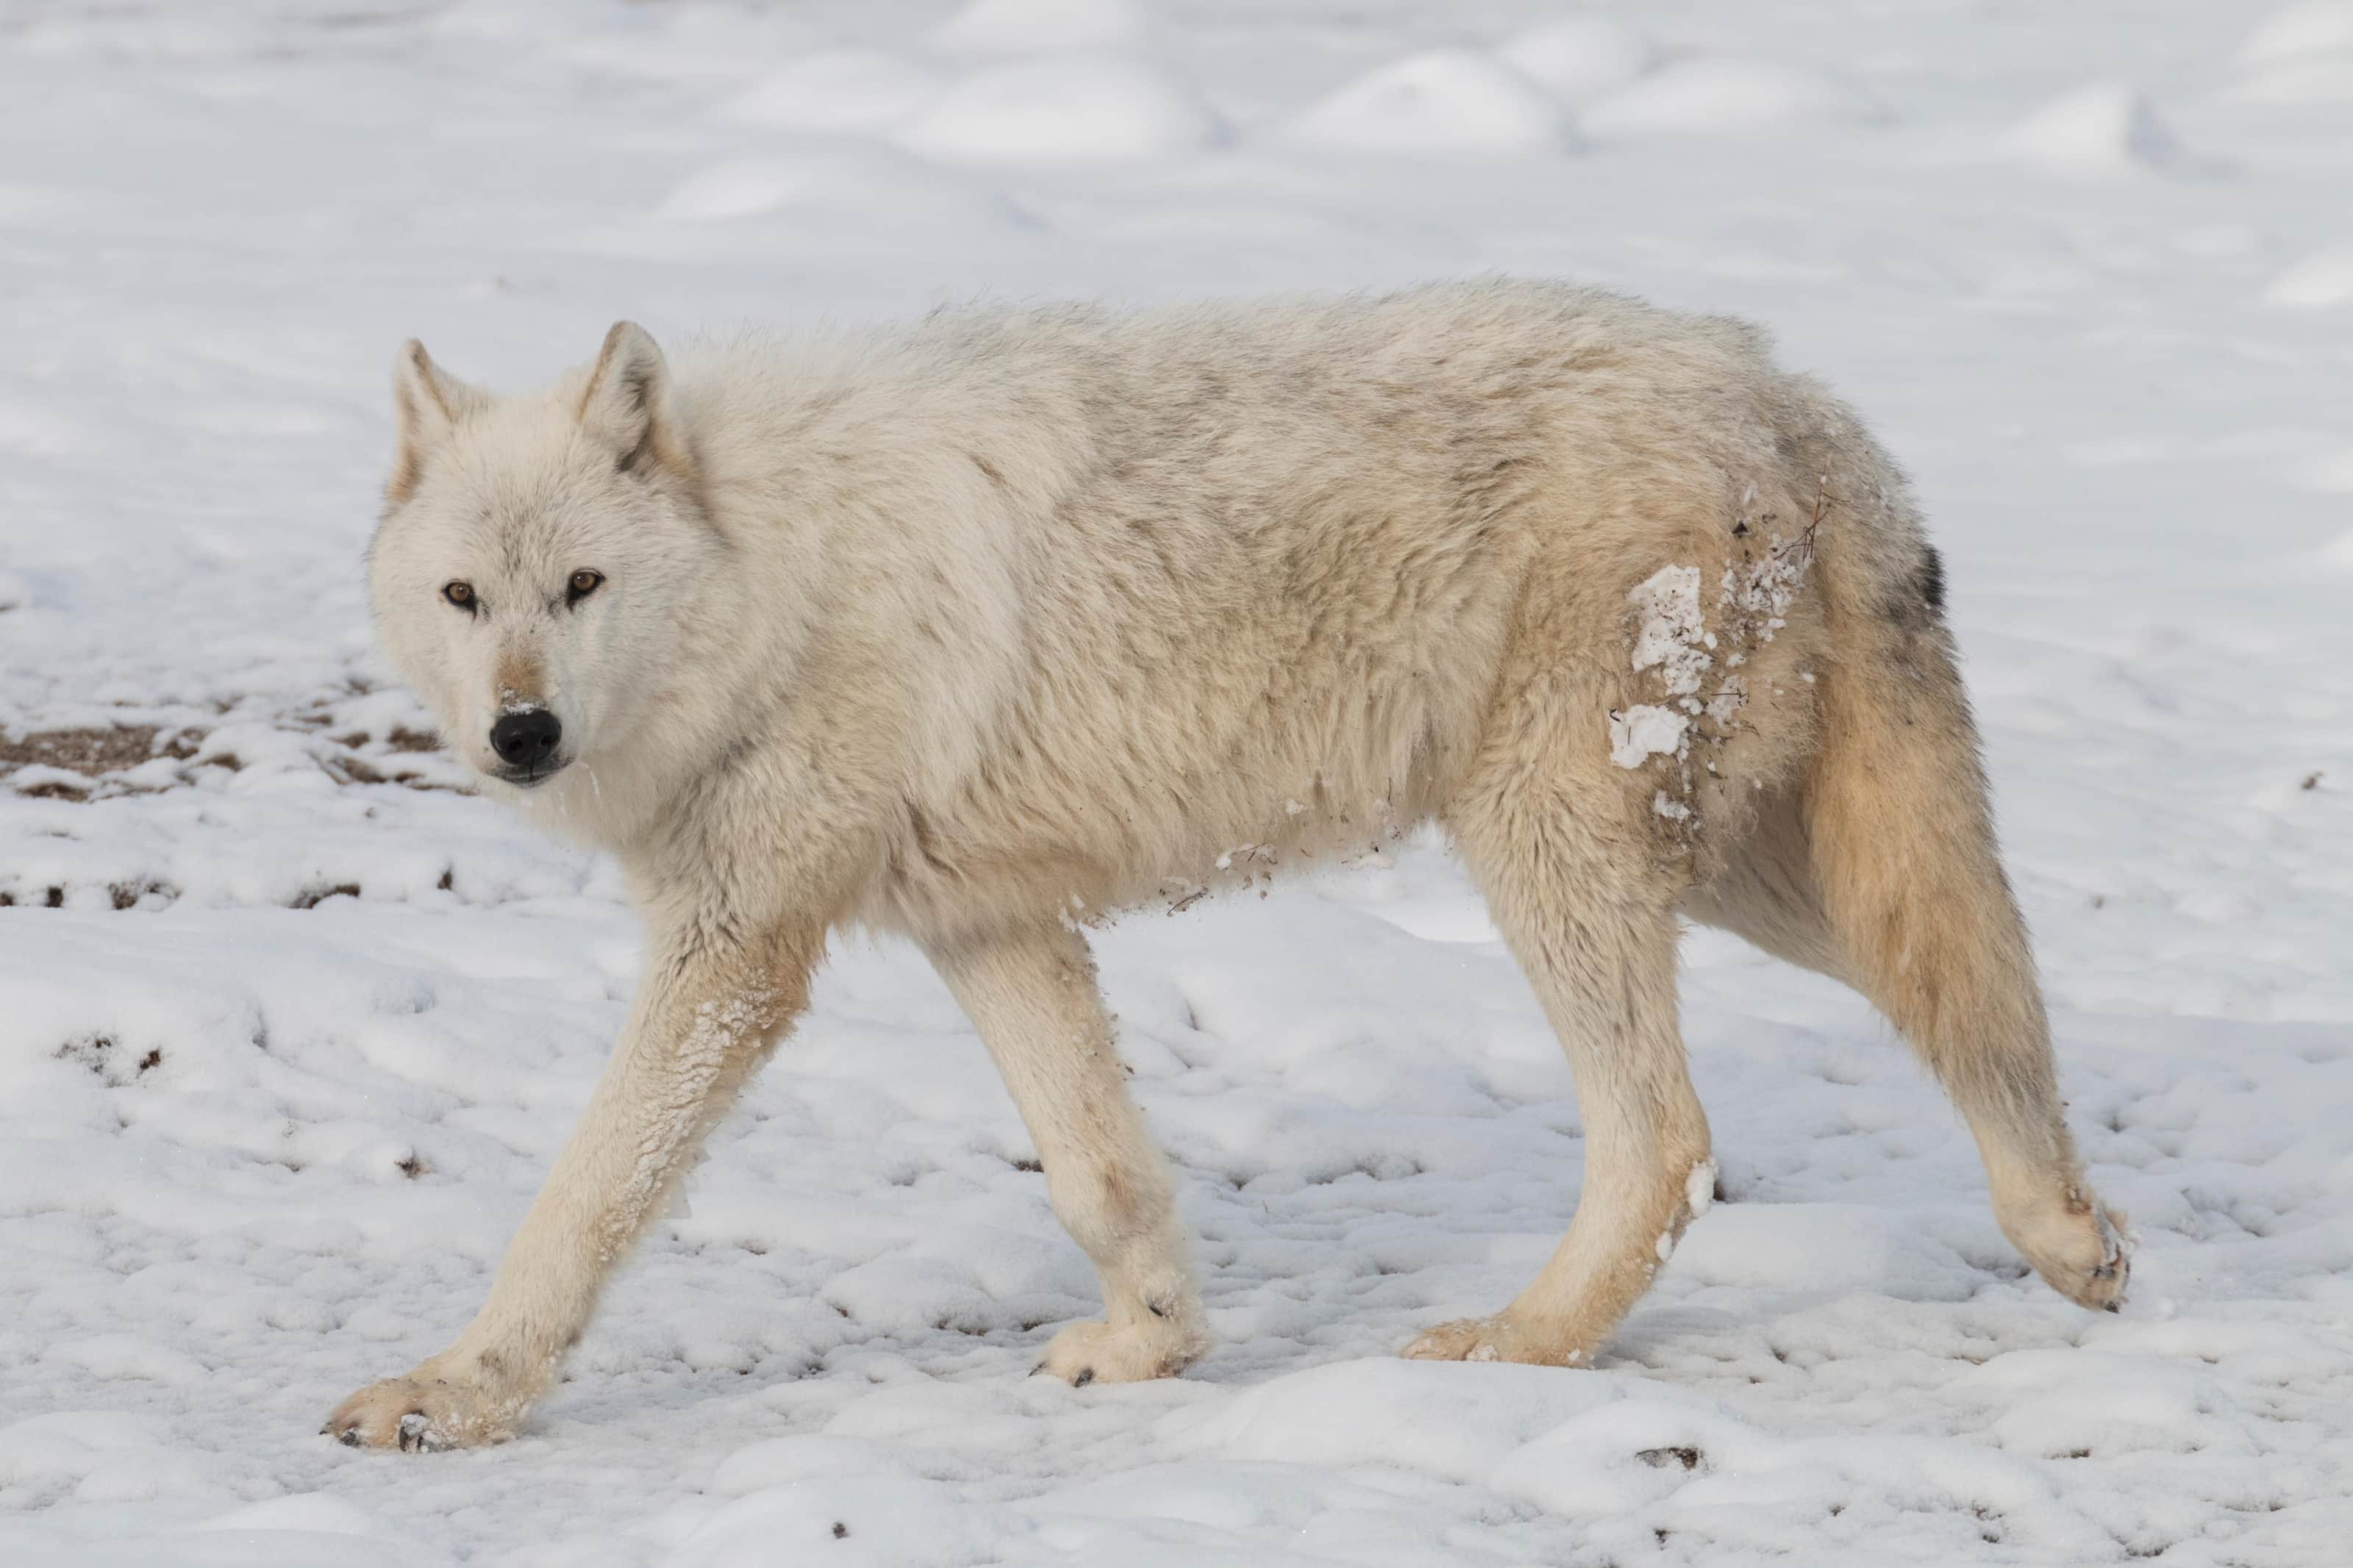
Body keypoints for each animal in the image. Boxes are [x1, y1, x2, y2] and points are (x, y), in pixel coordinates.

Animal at [328, 280, 2127, 1450]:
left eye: (581, 583)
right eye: (465, 599)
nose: (522, 734)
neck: (773, 571)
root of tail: (1784, 390)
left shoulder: (738, 953)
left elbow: (576, 1204)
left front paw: (454, 1391)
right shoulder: (989, 921)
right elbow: (1099, 1172)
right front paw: (1152, 1346)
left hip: (1556, 852)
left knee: (1671, 1139)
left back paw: (1515, 1343)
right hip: (1735, 867)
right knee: (1973, 997)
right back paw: (2071, 1238)